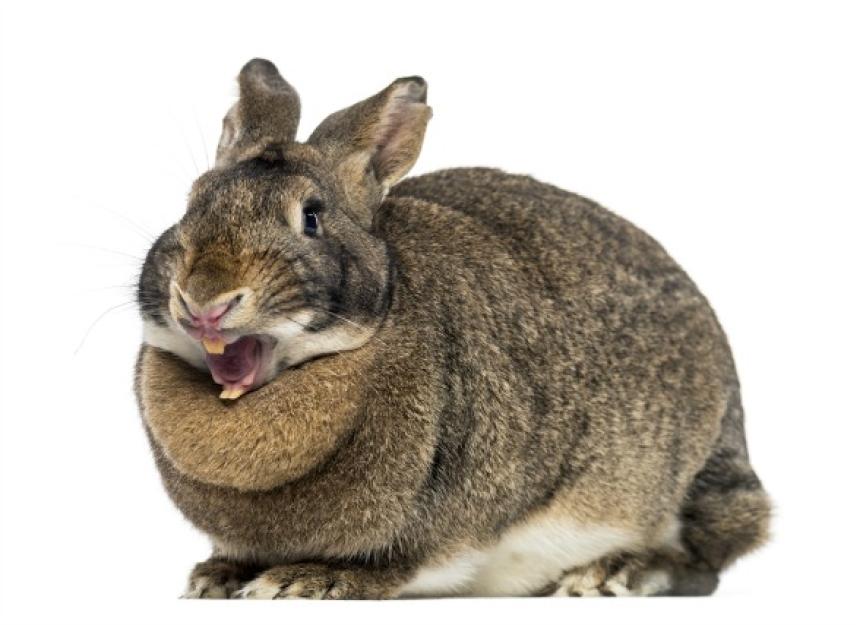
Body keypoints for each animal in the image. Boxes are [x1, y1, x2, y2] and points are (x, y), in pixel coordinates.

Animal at [135, 58, 770, 599]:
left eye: (311, 217)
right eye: (192, 203)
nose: (204, 300)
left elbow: (400, 562)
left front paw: (301, 581)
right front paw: (213, 577)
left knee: (705, 558)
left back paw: (609, 575)